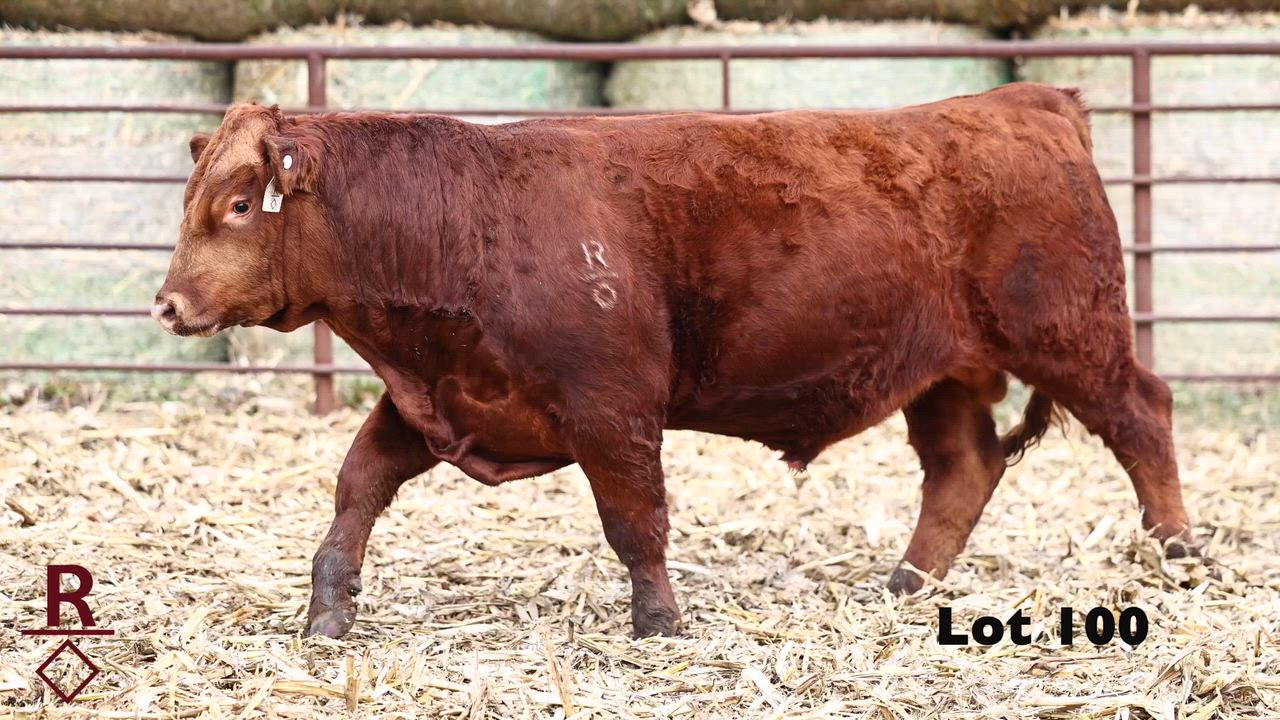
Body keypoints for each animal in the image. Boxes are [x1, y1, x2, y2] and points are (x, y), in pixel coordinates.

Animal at [154, 83, 1199, 639]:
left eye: (240, 204)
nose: (168, 304)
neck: (466, 223)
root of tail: (1029, 101)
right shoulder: (436, 400)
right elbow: (356, 487)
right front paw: (329, 607)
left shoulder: (612, 410)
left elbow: (635, 521)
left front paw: (657, 624)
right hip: (939, 375)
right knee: (964, 468)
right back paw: (907, 583)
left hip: (1072, 335)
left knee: (1142, 417)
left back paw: (1179, 551)